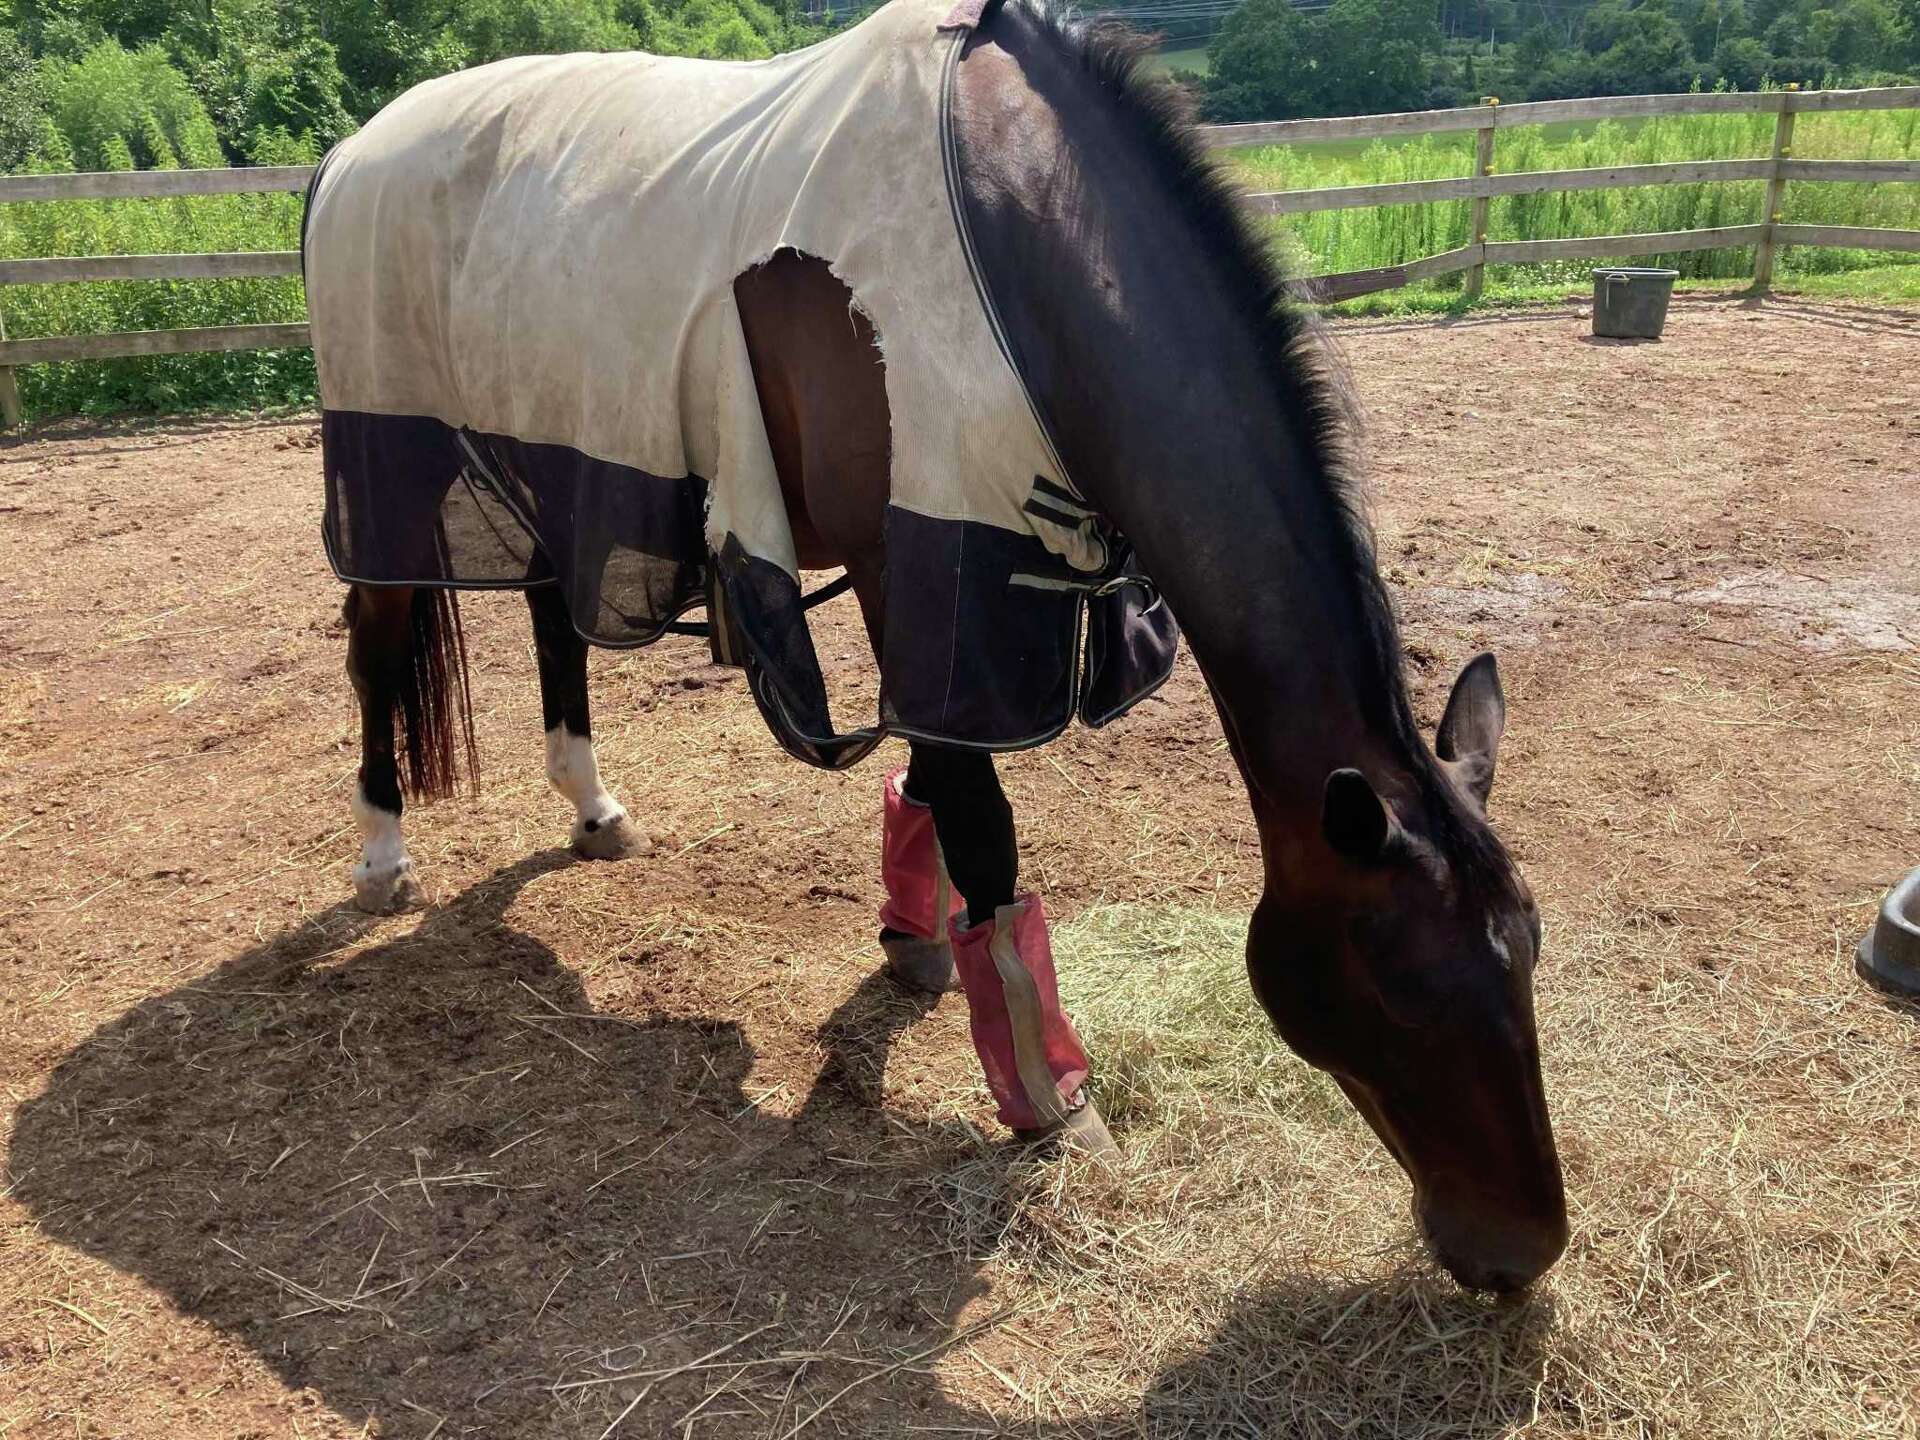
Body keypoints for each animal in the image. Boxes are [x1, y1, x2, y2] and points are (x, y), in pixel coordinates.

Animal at [308, 0, 1568, 1292]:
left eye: (1526, 955)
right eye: (1398, 994)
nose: (1523, 1250)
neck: (1018, 258)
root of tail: (354, 151)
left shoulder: (946, 576)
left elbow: (931, 767)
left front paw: (914, 937)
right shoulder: (909, 550)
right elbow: (978, 811)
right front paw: (1047, 1094)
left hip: (560, 465)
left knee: (555, 624)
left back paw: (591, 805)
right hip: (395, 465)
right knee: (378, 650)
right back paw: (381, 855)